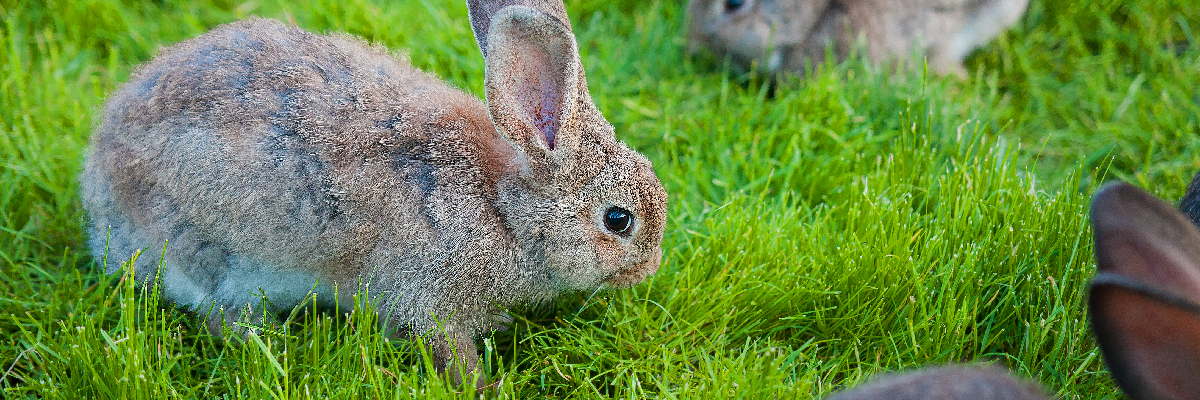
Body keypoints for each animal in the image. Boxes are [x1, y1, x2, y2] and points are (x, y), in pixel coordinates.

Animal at [78, 0, 668, 386]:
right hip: (210, 251)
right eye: (619, 220)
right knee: (218, 315)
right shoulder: (430, 293)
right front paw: (485, 386)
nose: (649, 268)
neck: (505, 208)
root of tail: (99, 191)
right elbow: (447, 348)